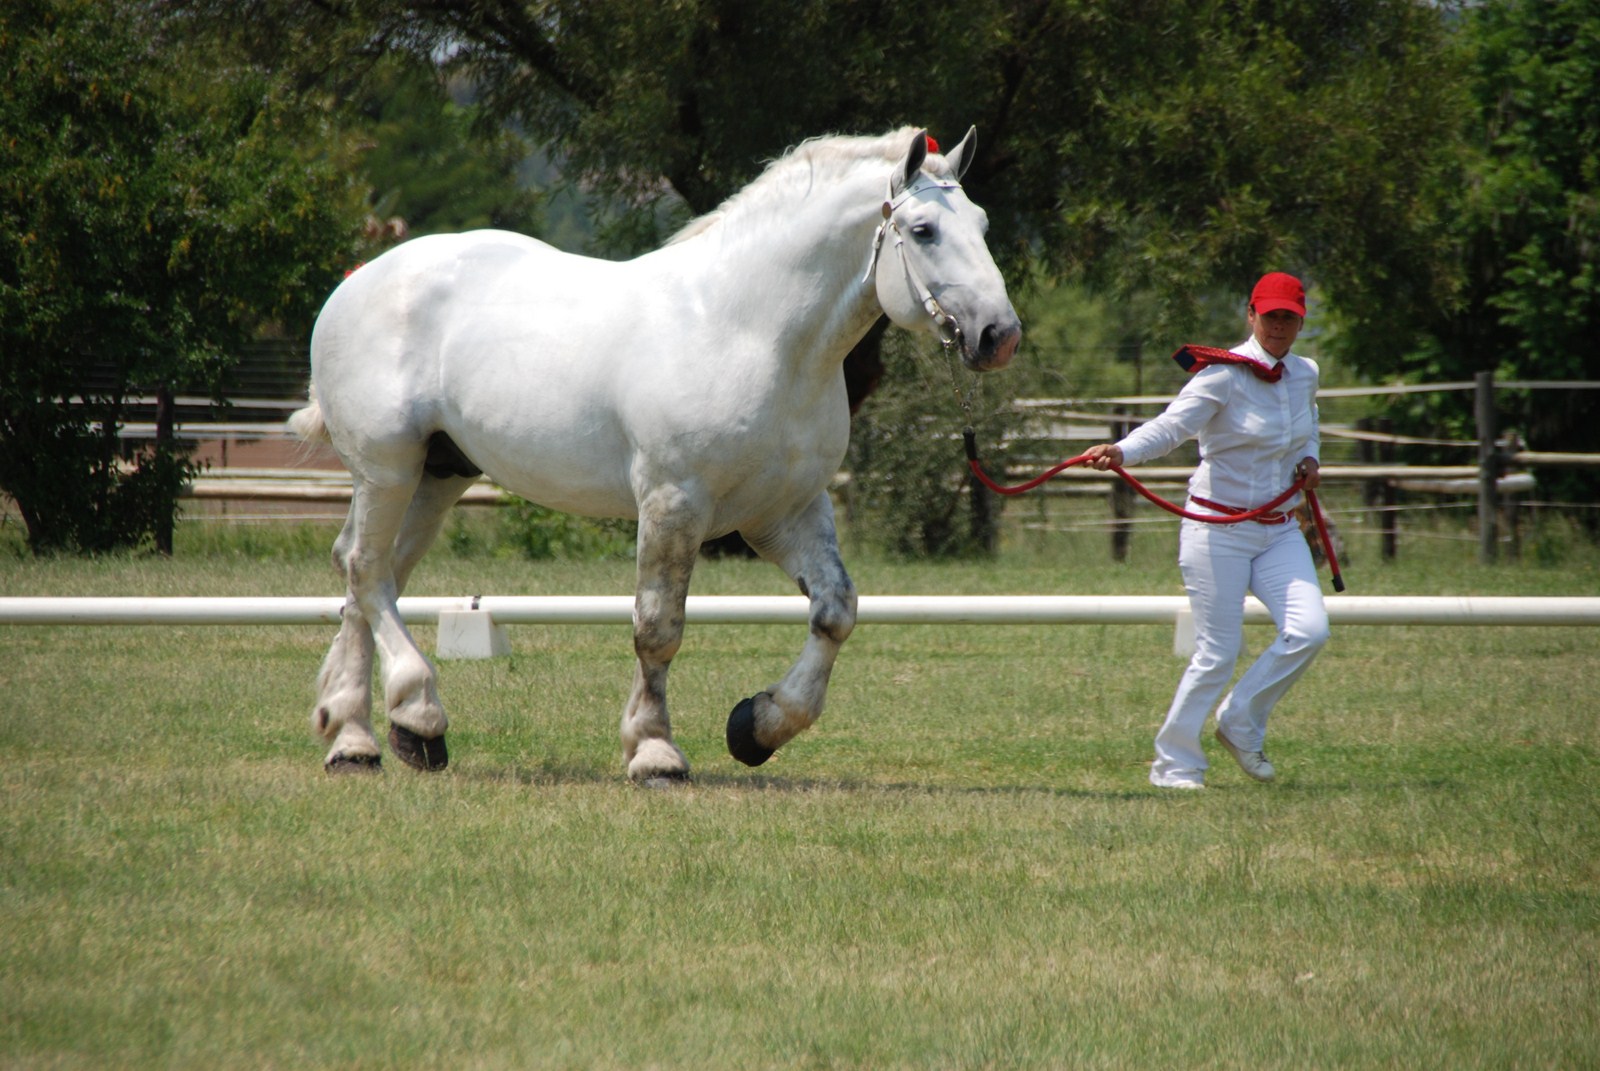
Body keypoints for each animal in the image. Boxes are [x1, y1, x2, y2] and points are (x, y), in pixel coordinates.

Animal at [289, 125, 1021, 781]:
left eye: (984, 223)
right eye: (923, 231)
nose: (999, 334)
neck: (749, 330)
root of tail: (360, 280)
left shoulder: (784, 511)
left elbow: (835, 611)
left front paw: (758, 725)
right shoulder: (674, 503)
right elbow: (659, 627)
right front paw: (654, 751)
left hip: (437, 474)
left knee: (371, 576)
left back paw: (358, 730)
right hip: (388, 468)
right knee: (366, 570)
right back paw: (407, 717)